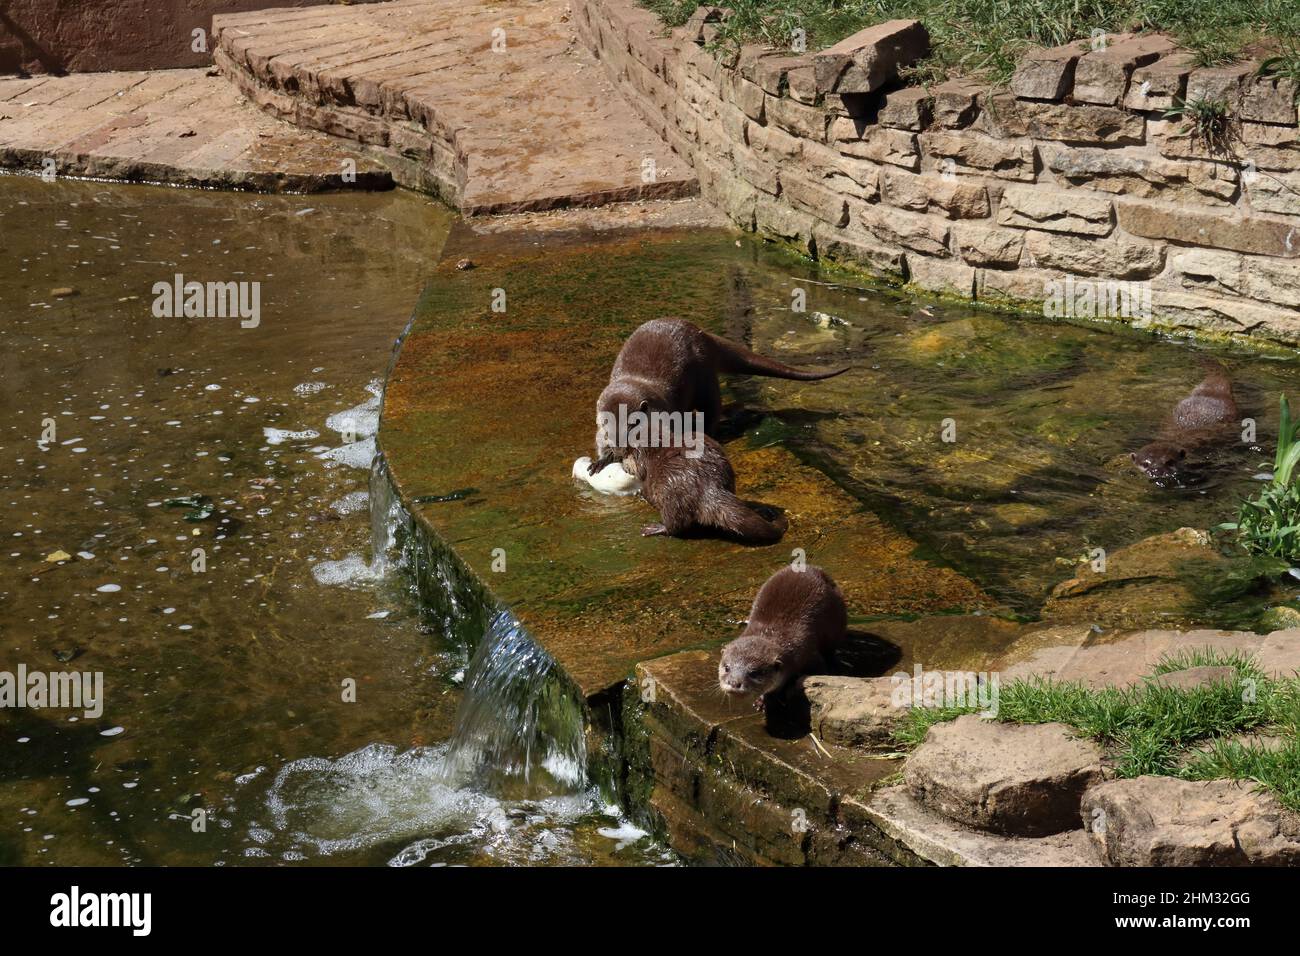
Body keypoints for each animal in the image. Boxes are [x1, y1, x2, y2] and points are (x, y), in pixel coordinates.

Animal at [591, 318, 848, 472]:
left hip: (705, 376)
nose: (621, 449)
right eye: (607, 427)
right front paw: (601, 460)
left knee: (713, 409)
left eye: (634, 425)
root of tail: (704, 335)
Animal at [718, 565, 848, 708]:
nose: (734, 683)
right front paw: (761, 700)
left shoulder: (810, 654)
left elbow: (821, 670)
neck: (772, 633)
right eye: (727, 667)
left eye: (754, 673)